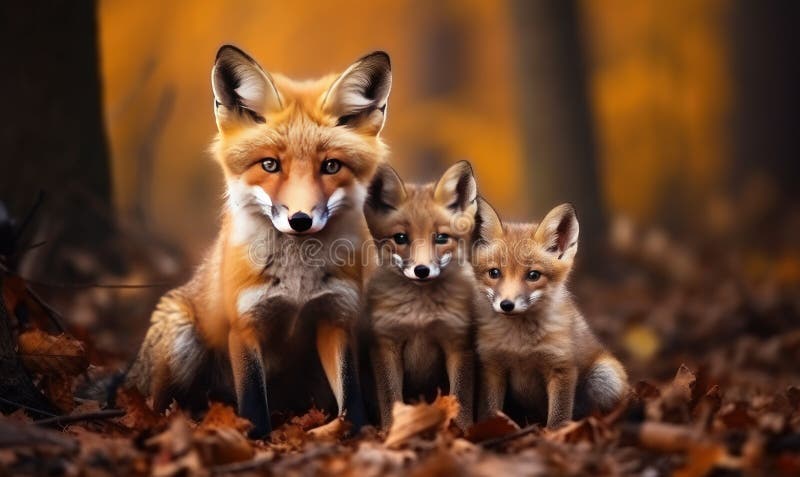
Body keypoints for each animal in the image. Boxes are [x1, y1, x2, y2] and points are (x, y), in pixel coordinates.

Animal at [126, 45, 392, 438]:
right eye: (269, 165)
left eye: (331, 166)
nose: (300, 220)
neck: (298, 282)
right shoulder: (245, 325)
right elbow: (252, 401)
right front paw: (256, 439)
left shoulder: (336, 320)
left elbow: (350, 398)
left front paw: (350, 433)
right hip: (181, 341)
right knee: (156, 404)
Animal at [362, 161, 480, 430]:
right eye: (401, 238)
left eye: (441, 238)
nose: (422, 270)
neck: (420, 316)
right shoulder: (386, 343)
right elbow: (391, 400)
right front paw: (390, 432)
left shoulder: (458, 343)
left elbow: (461, 399)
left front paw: (464, 432)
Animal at [472, 199, 627, 428]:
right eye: (494, 273)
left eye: (533, 275)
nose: (507, 305)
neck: (520, 345)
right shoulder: (492, 366)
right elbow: (490, 411)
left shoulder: (561, 367)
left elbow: (558, 418)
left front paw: (555, 434)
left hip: (604, 378)